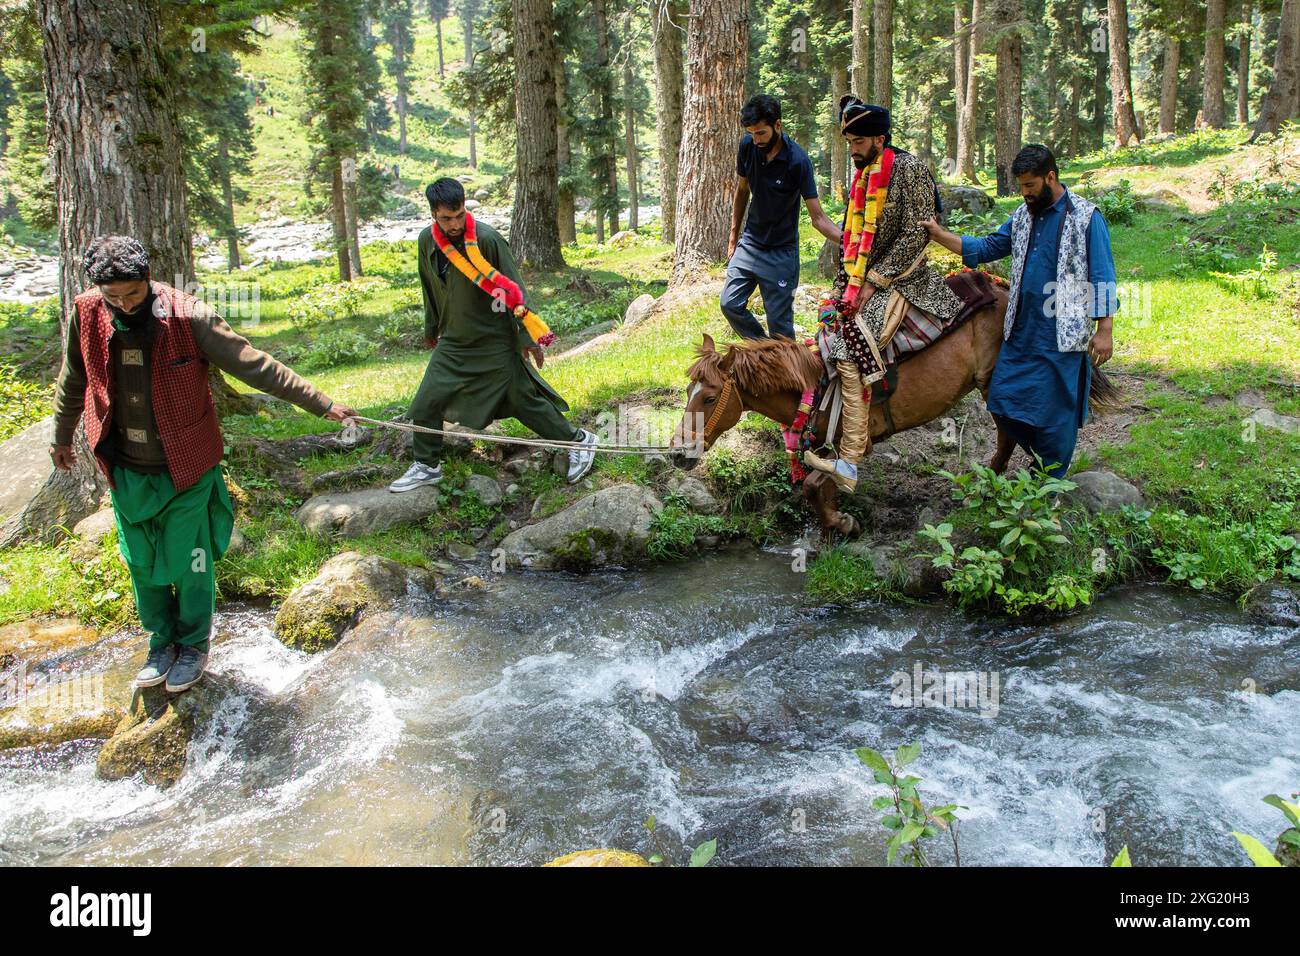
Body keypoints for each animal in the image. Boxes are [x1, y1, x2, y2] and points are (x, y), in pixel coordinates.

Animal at [669, 278, 1123, 539]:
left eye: (708, 397)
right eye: (688, 390)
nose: (677, 452)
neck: (817, 382)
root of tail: (1007, 292)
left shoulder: (852, 445)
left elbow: (815, 485)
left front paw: (843, 523)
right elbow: (814, 487)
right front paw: (837, 521)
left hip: (994, 381)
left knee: (1012, 430)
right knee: (1008, 434)